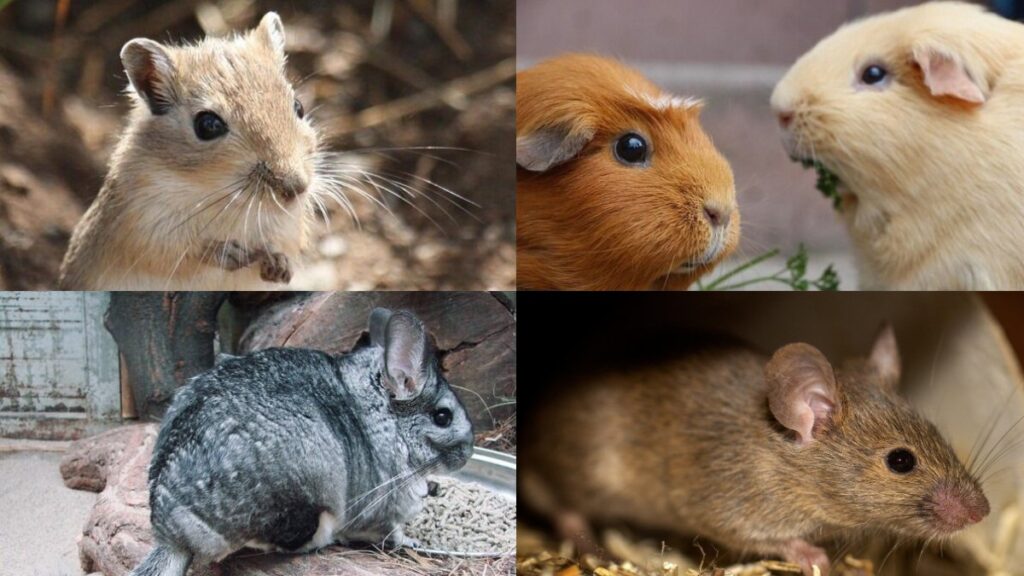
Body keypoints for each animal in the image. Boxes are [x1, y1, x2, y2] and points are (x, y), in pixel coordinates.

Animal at [60, 13, 319, 290]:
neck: (221, 196)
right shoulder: (145, 228)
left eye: (299, 107)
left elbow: (280, 246)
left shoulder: (289, 226)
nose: (296, 189)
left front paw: (280, 267)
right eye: (208, 125)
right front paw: (232, 253)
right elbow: (187, 249)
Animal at [129, 308, 475, 576]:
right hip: (309, 485)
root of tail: (171, 536)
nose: (470, 452)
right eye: (443, 416)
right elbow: (393, 531)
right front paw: (412, 542)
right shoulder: (382, 504)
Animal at [521, 327, 989, 575]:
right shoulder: (732, 506)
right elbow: (773, 540)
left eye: (937, 432)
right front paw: (814, 557)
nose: (981, 512)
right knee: (564, 509)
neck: (779, 444)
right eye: (901, 461)